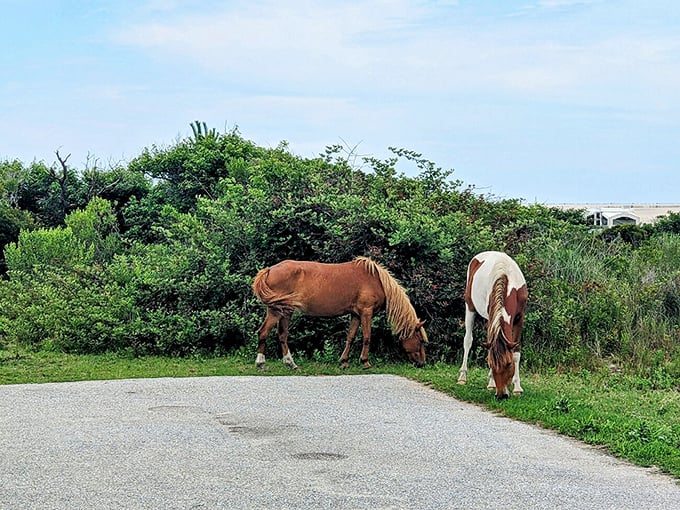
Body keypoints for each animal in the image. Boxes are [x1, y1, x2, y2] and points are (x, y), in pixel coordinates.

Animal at [252, 257, 427, 370]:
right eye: (420, 341)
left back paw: (290, 363)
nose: (422, 364)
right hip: (278, 311)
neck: (377, 281)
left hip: (285, 311)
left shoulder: (356, 315)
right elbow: (366, 337)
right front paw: (365, 362)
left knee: (281, 335)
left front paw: (343, 361)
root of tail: (269, 270)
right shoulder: (366, 313)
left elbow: (350, 337)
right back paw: (261, 363)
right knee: (264, 332)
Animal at [457, 251, 528, 399]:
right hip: (469, 306)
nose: (501, 395)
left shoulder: (519, 318)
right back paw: (463, 377)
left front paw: (517, 388)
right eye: (490, 363)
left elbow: (516, 353)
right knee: (468, 341)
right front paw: (492, 383)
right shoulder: (491, 316)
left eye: (508, 364)